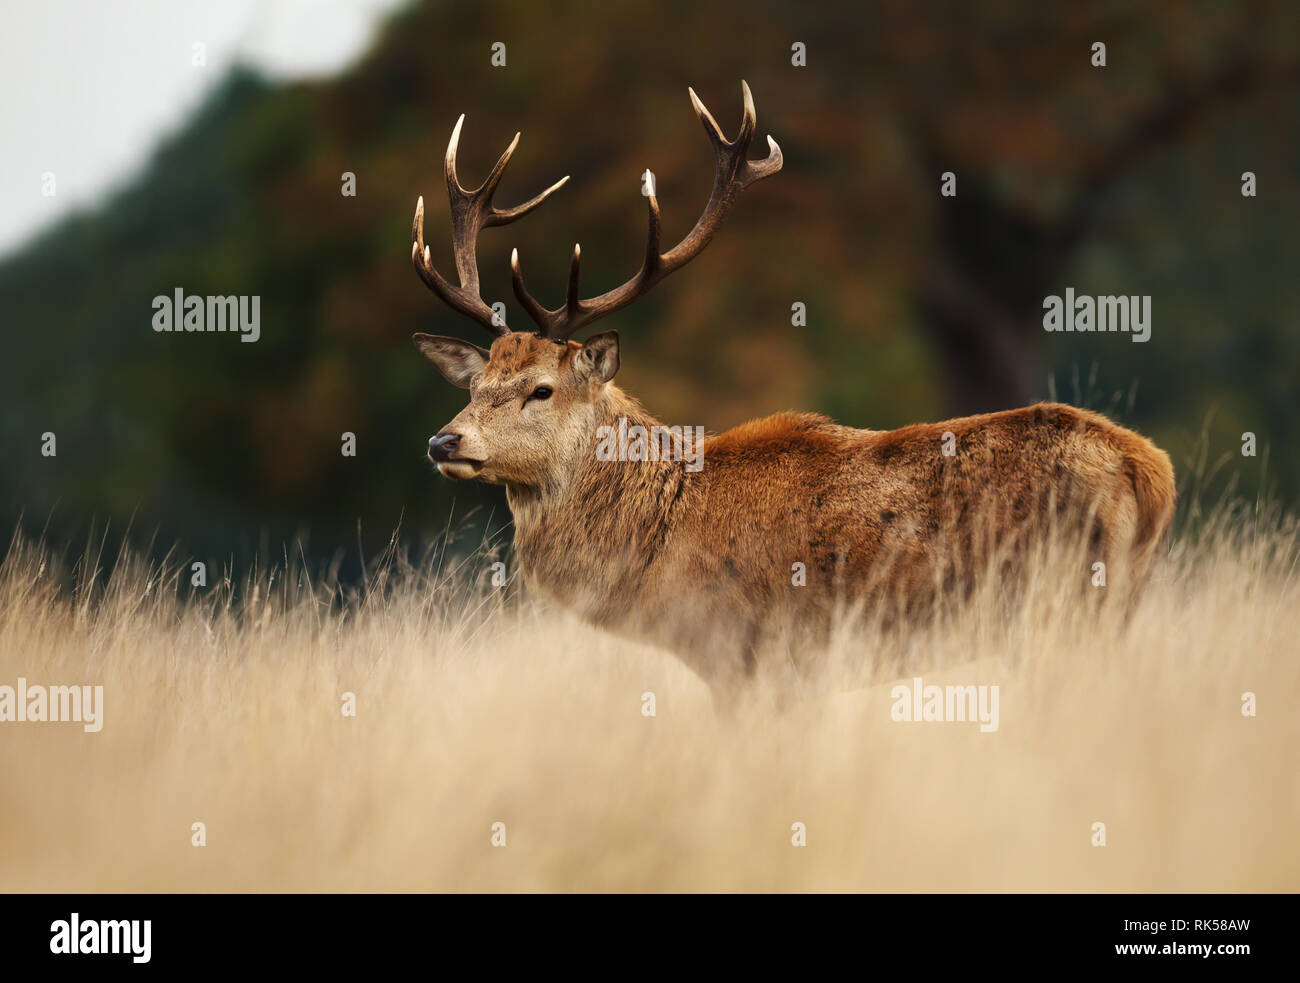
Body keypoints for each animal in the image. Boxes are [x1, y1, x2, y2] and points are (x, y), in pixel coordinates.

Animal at [408, 82, 1176, 705]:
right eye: (477, 384)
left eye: (541, 390)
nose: (444, 439)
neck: (658, 536)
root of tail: (1151, 470)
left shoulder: (751, 652)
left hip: (1065, 603)